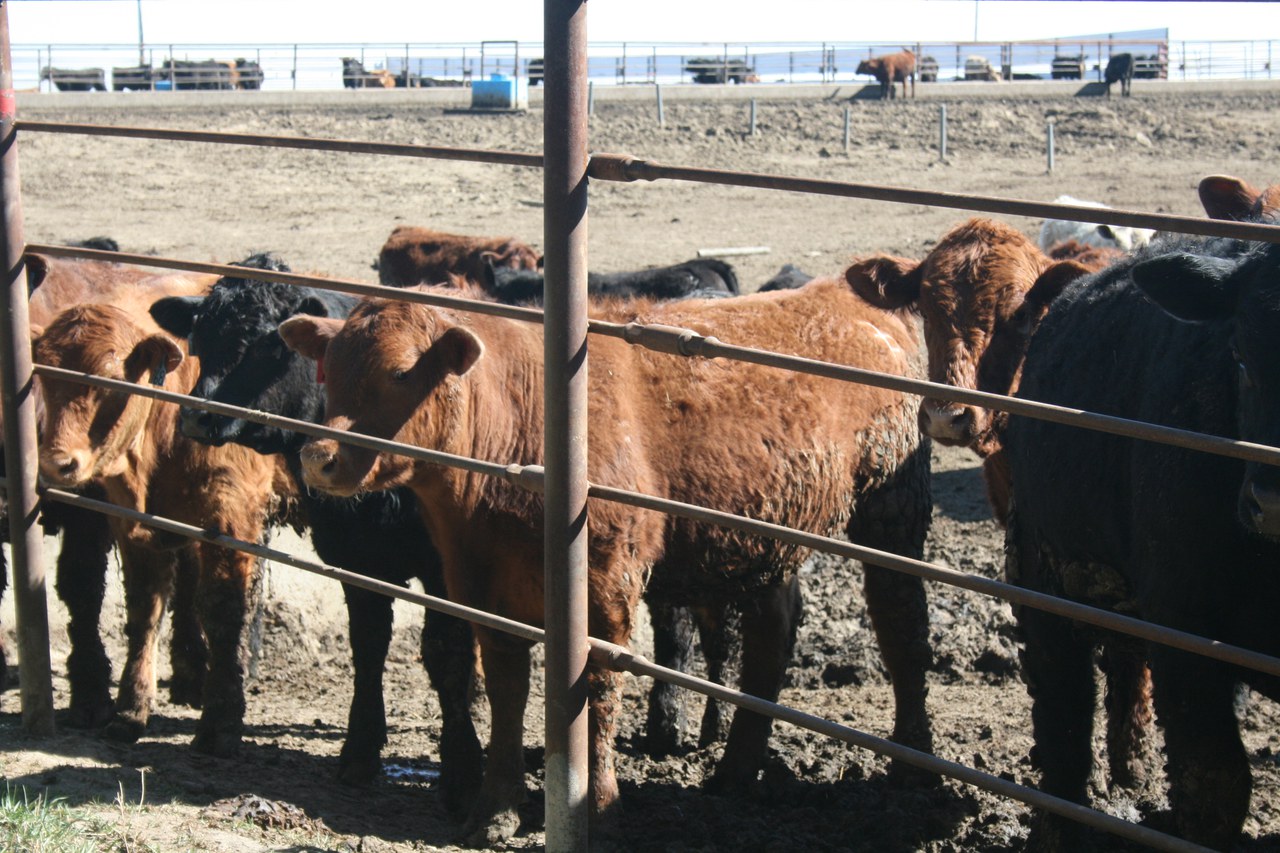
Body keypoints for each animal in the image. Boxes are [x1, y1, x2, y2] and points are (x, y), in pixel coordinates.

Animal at [31, 269, 284, 757]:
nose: (57, 464)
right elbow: (144, 607)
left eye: (110, 379)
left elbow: (224, 607)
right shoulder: (132, 523)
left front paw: (220, 723)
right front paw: (130, 709)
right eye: (44, 378)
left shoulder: (232, 510)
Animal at [148, 258, 484, 816]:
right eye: (199, 336)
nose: (197, 415)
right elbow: (368, 645)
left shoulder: (446, 571)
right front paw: (359, 752)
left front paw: (462, 772)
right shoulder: (357, 560)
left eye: (268, 345)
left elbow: (446, 653)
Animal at [279, 275, 935, 843]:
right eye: (328, 368)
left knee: (901, 622)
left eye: (398, 373)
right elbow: (507, 690)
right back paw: (734, 771)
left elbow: (595, 691)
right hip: (766, 537)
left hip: (892, 509)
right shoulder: (480, 587)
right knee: (773, 631)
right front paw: (495, 808)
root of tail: (849, 294)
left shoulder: (603, 584)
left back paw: (913, 762)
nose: (318, 457)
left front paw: (598, 809)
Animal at [1004, 233, 1280, 850]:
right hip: (1042, 574)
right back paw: (1059, 827)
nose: (1270, 501)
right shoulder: (1184, 622)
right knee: (1063, 712)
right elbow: (1215, 782)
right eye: (1241, 357)